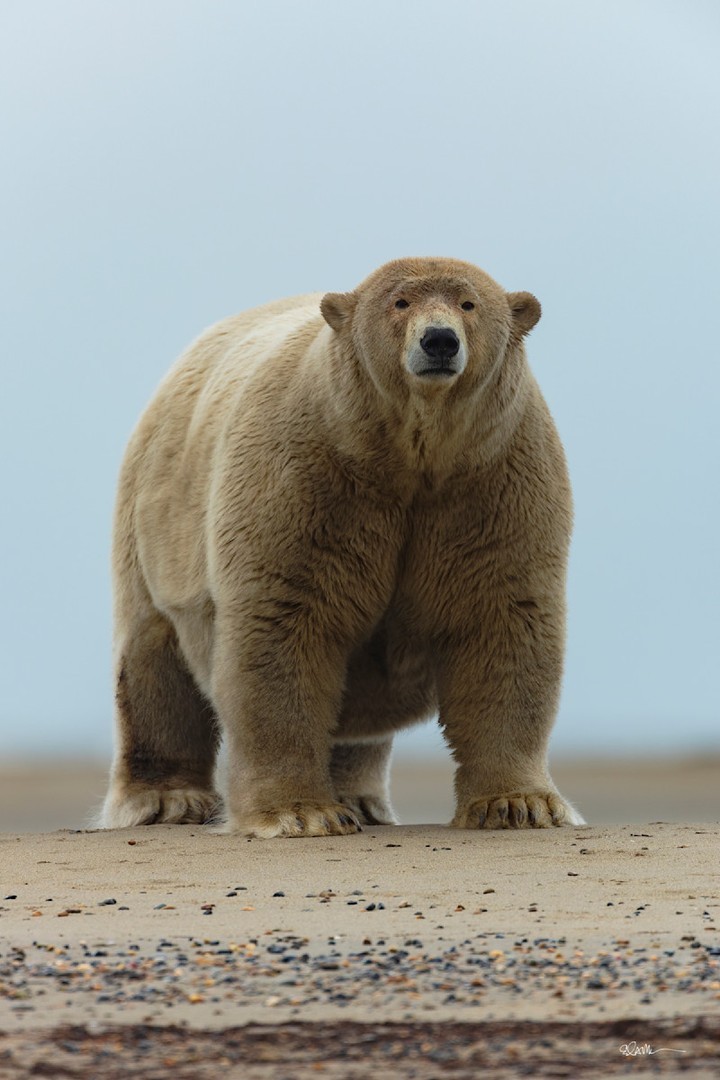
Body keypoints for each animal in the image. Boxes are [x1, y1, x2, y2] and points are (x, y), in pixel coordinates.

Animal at [100, 256, 584, 837]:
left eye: (469, 303)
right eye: (399, 302)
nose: (440, 340)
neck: (408, 457)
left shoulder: (492, 480)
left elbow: (501, 621)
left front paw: (519, 805)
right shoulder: (308, 475)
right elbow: (285, 623)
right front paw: (300, 813)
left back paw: (361, 799)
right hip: (155, 521)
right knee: (153, 660)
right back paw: (167, 800)